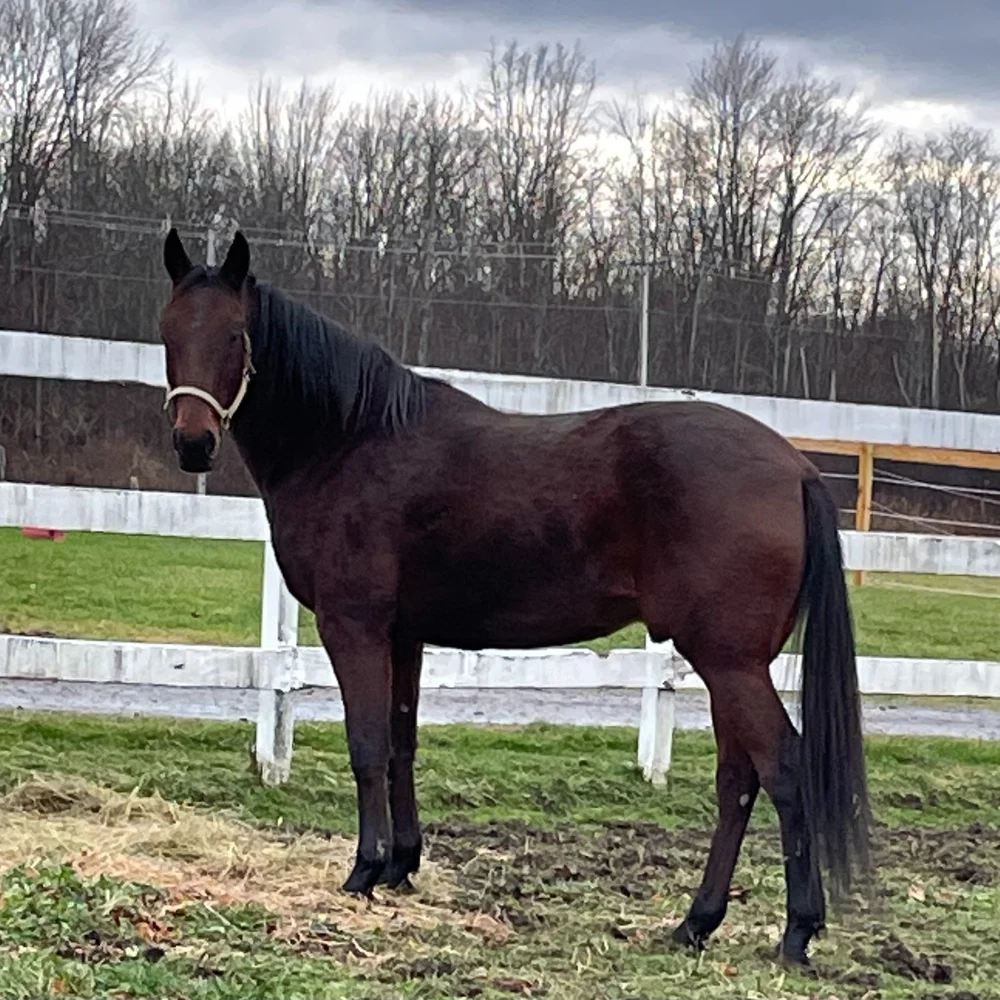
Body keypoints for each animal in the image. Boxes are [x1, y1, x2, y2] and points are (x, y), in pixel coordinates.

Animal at [158, 229, 871, 966]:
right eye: (169, 331)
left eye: (235, 335)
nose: (193, 444)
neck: (350, 441)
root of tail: (795, 466)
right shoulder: (404, 633)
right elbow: (402, 742)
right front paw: (401, 864)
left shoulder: (353, 625)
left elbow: (367, 745)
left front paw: (364, 870)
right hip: (733, 663)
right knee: (738, 780)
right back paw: (696, 922)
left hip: (728, 661)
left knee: (782, 770)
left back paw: (796, 930)